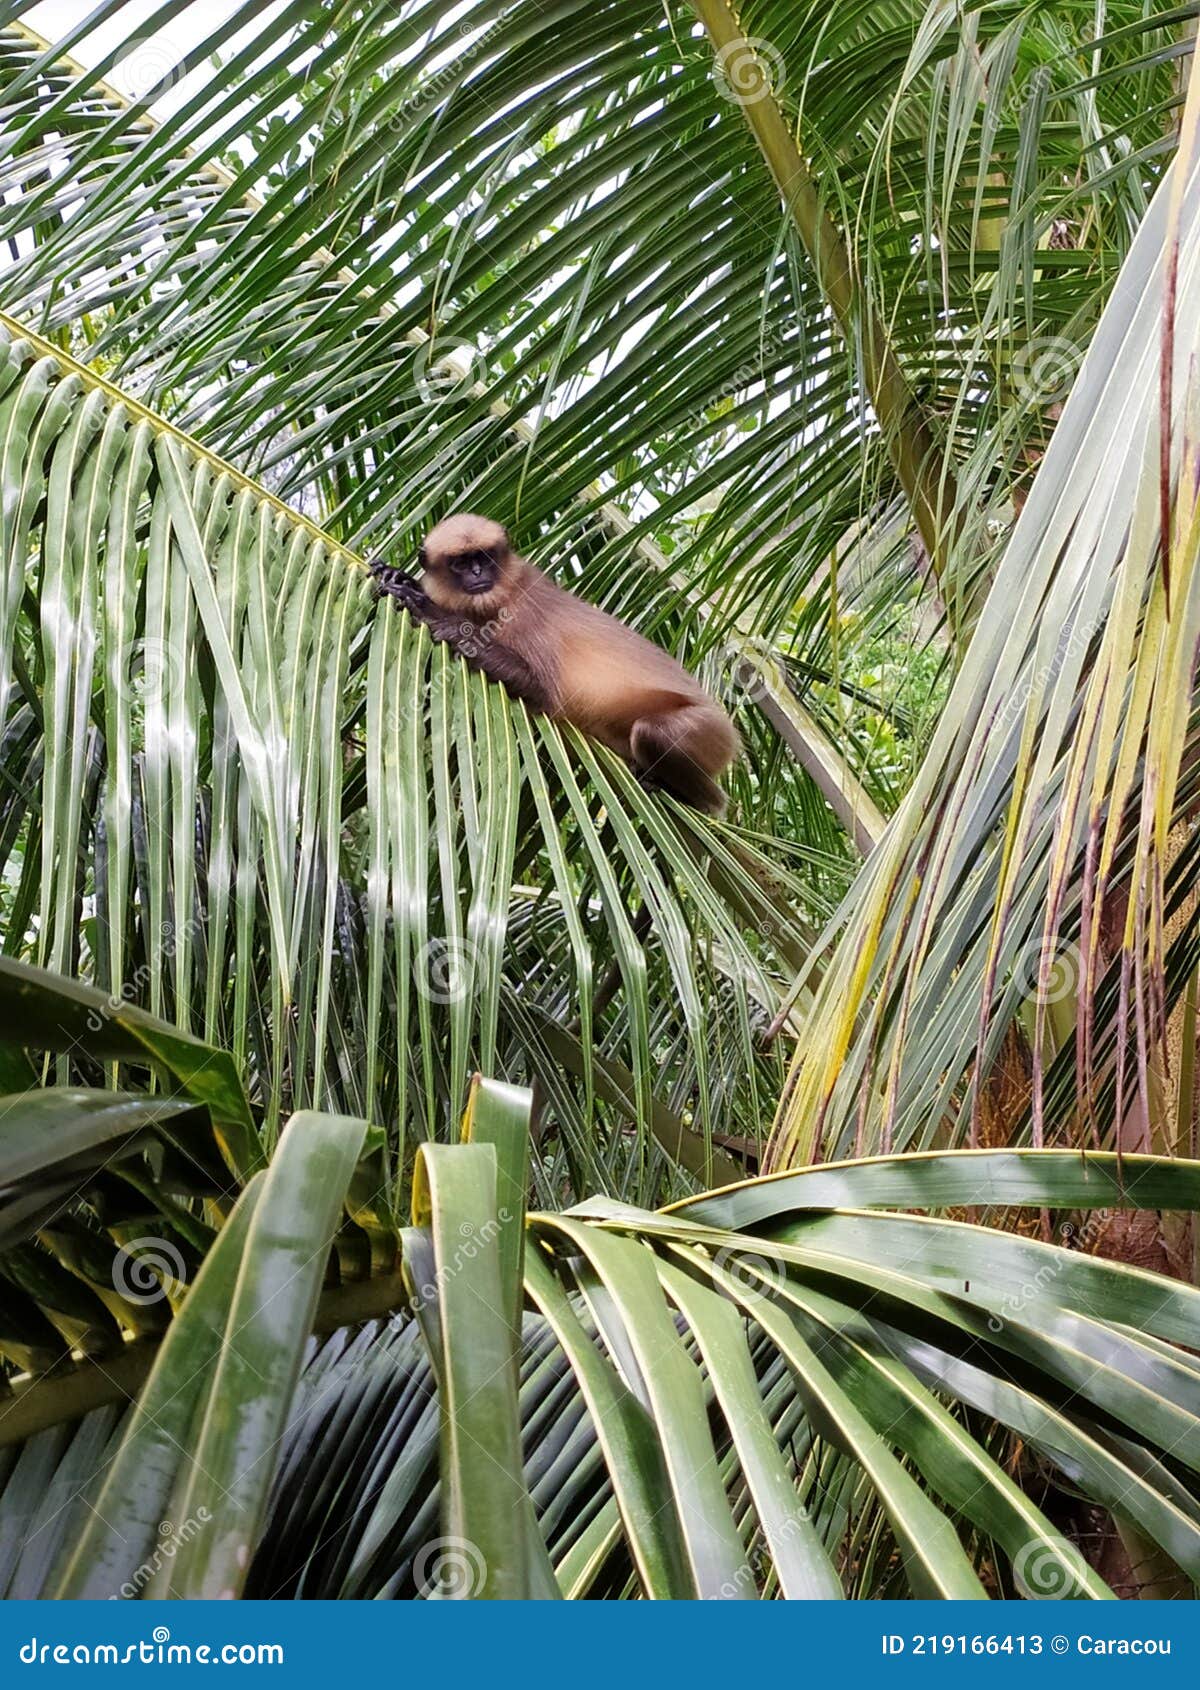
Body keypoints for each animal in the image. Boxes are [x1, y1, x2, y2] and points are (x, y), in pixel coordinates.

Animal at [371, 514, 738, 814]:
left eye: (484, 558)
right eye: (461, 563)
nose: (477, 573)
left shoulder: (523, 609)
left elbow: (541, 690)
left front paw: (432, 611)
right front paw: (400, 577)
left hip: (708, 731)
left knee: (656, 734)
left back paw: (705, 801)